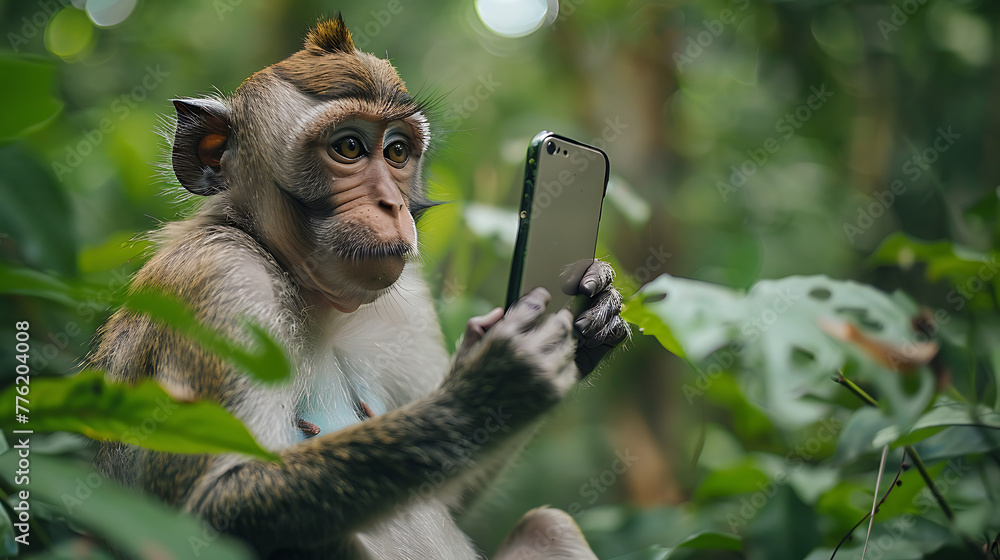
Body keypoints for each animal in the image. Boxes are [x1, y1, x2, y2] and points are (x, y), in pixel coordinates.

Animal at [90, 15, 628, 559]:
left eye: (397, 152)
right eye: (348, 147)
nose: (392, 204)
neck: (314, 297)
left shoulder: (408, 299)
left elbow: (448, 497)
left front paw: (592, 325)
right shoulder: (220, 277)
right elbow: (208, 508)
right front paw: (494, 385)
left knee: (549, 523)